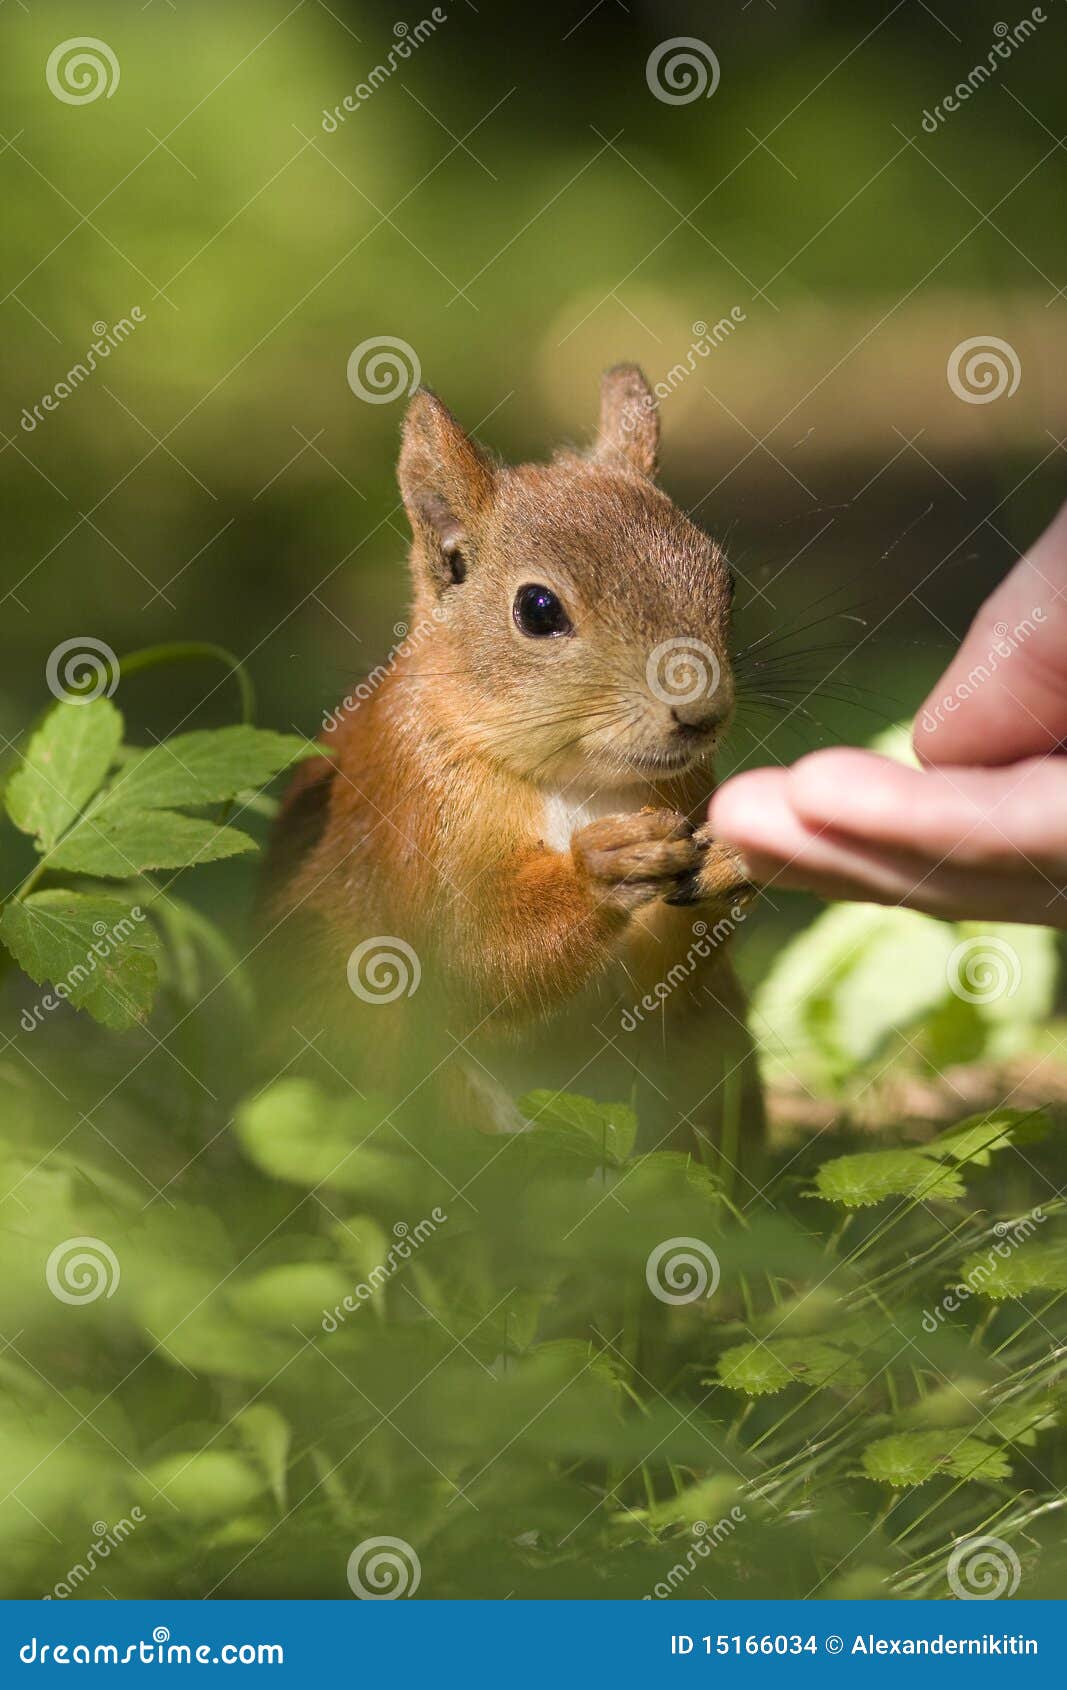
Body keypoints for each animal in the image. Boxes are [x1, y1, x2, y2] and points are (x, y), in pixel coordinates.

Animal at [265, 366, 763, 1175]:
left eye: (725, 578)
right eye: (536, 609)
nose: (701, 712)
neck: (583, 784)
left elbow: (673, 976)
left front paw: (733, 852)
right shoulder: (418, 815)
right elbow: (464, 959)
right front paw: (605, 866)